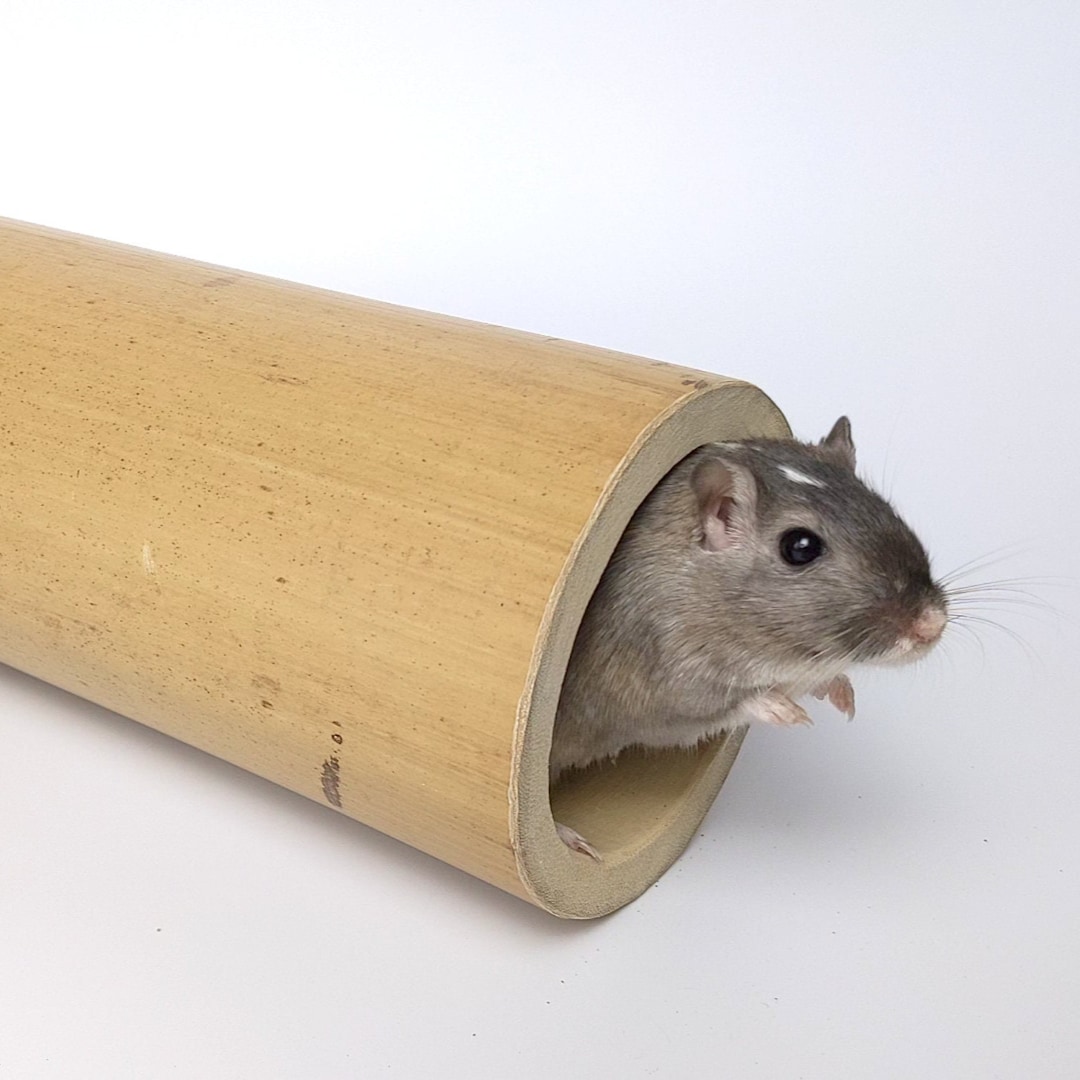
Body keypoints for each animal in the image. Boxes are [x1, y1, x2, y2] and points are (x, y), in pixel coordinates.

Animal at [551, 417, 948, 858]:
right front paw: (783, 710)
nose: (933, 624)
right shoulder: (667, 685)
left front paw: (840, 690)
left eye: (884, 508)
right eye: (800, 547)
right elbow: (723, 705)